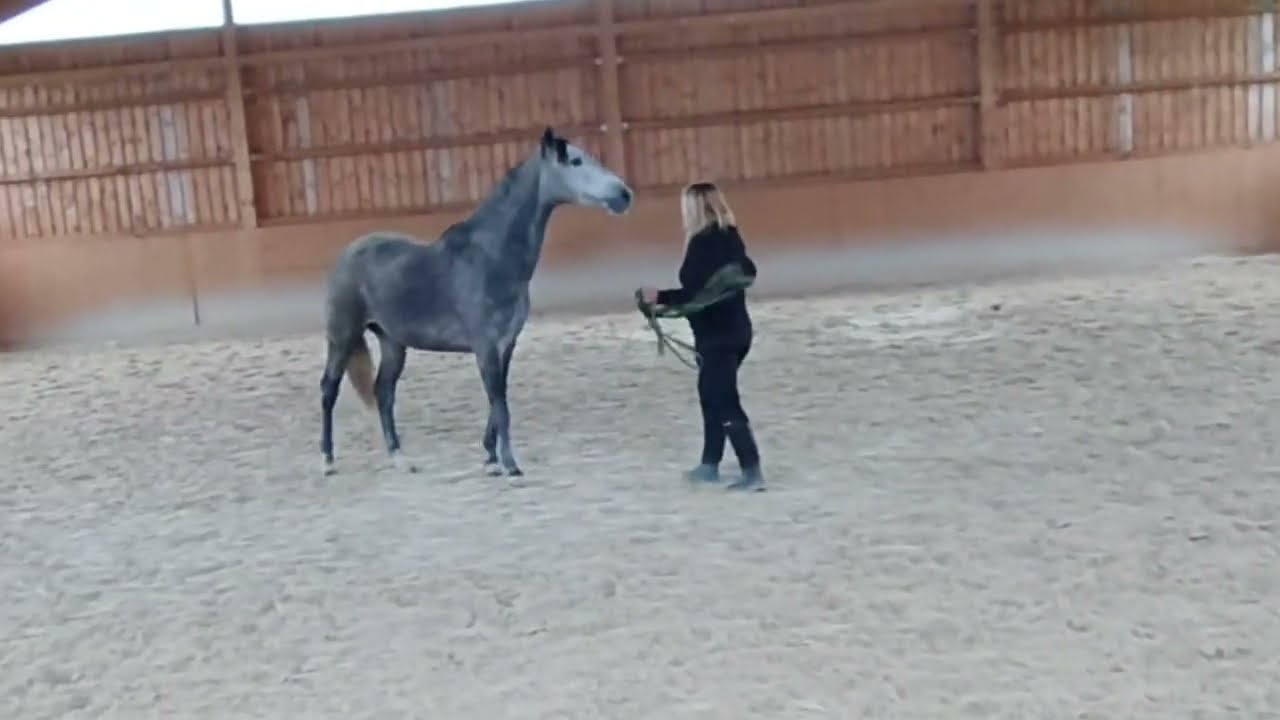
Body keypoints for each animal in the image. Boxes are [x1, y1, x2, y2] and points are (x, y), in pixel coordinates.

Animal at [319, 126, 634, 478]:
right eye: (575, 161)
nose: (623, 195)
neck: (492, 259)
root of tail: (347, 254)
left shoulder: (505, 345)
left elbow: (498, 401)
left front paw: (491, 458)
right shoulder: (485, 345)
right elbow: (499, 403)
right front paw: (510, 465)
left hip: (392, 342)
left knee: (383, 392)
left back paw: (399, 457)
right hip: (343, 336)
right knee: (329, 389)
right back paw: (327, 460)